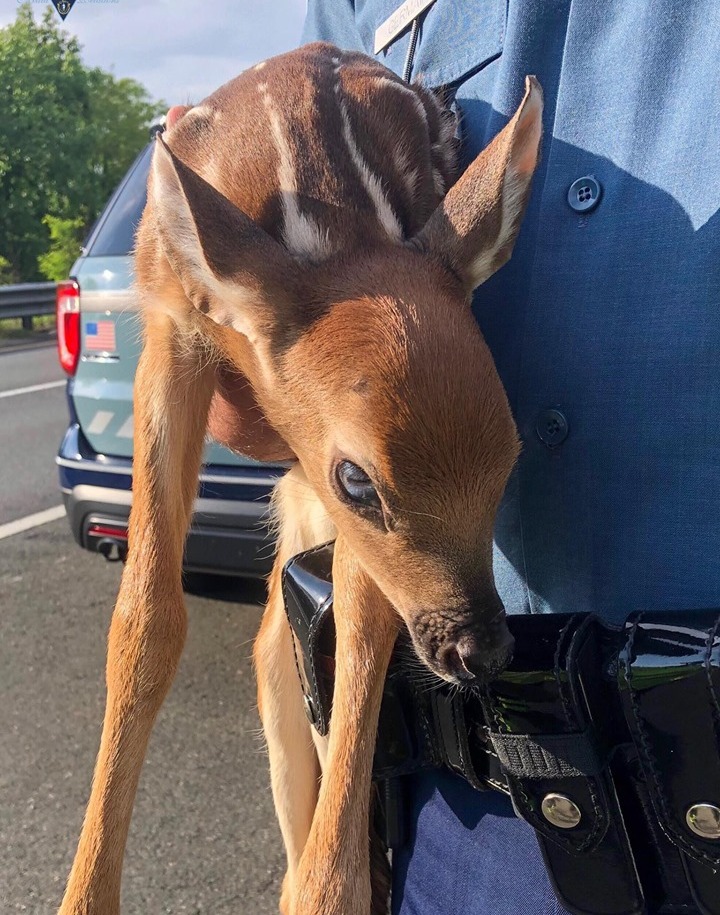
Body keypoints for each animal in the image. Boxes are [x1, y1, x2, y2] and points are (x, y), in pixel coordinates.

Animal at [57, 42, 542, 915]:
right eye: (359, 479)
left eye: (511, 455)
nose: (479, 647)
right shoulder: (173, 327)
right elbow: (144, 623)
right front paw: (81, 894)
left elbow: (360, 634)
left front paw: (333, 888)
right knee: (267, 653)